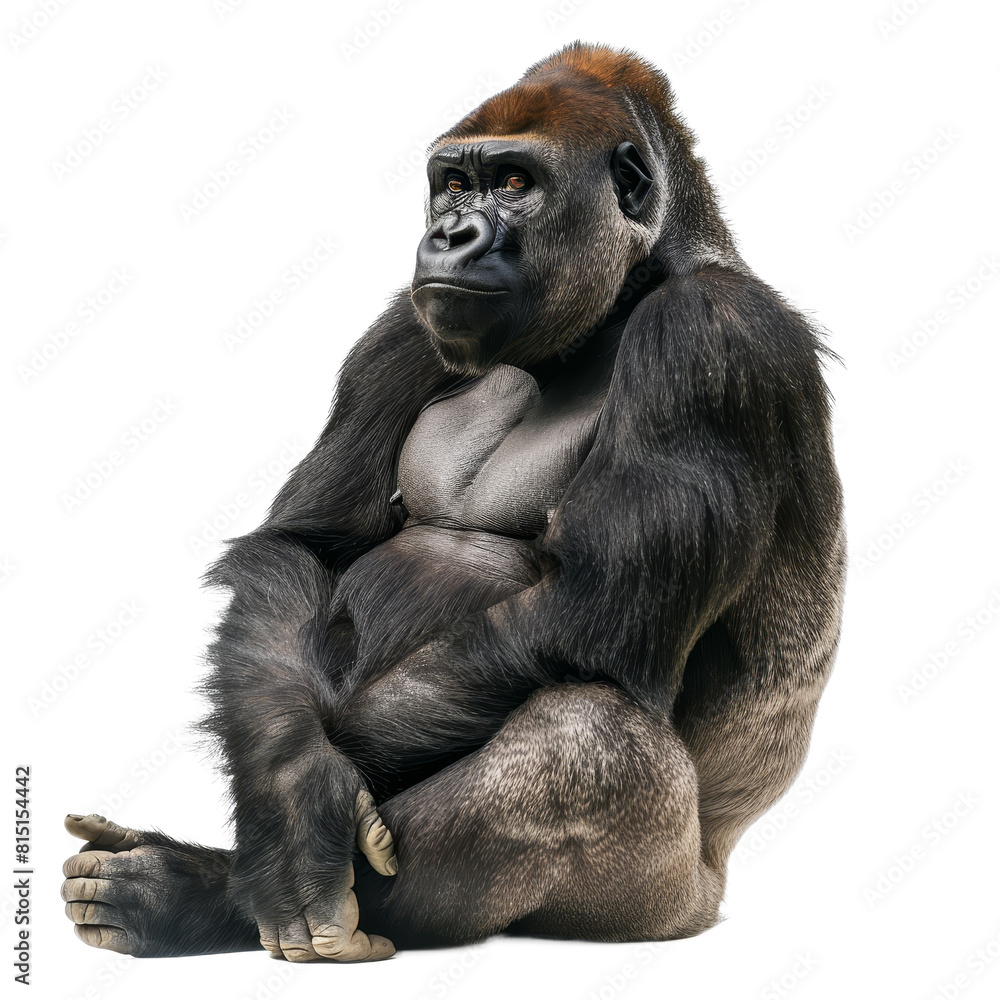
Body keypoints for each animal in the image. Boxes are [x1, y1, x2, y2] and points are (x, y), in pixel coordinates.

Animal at [62, 42, 845, 962]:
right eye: (452, 184)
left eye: (513, 182)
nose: (448, 235)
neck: (632, 285)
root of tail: (712, 888)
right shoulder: (405, 323)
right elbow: (307, 544)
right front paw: (290, 788)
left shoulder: (713, 336)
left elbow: (588, 611)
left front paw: (281, 836)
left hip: (659, 906)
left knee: (580, 743)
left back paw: (196, 892)